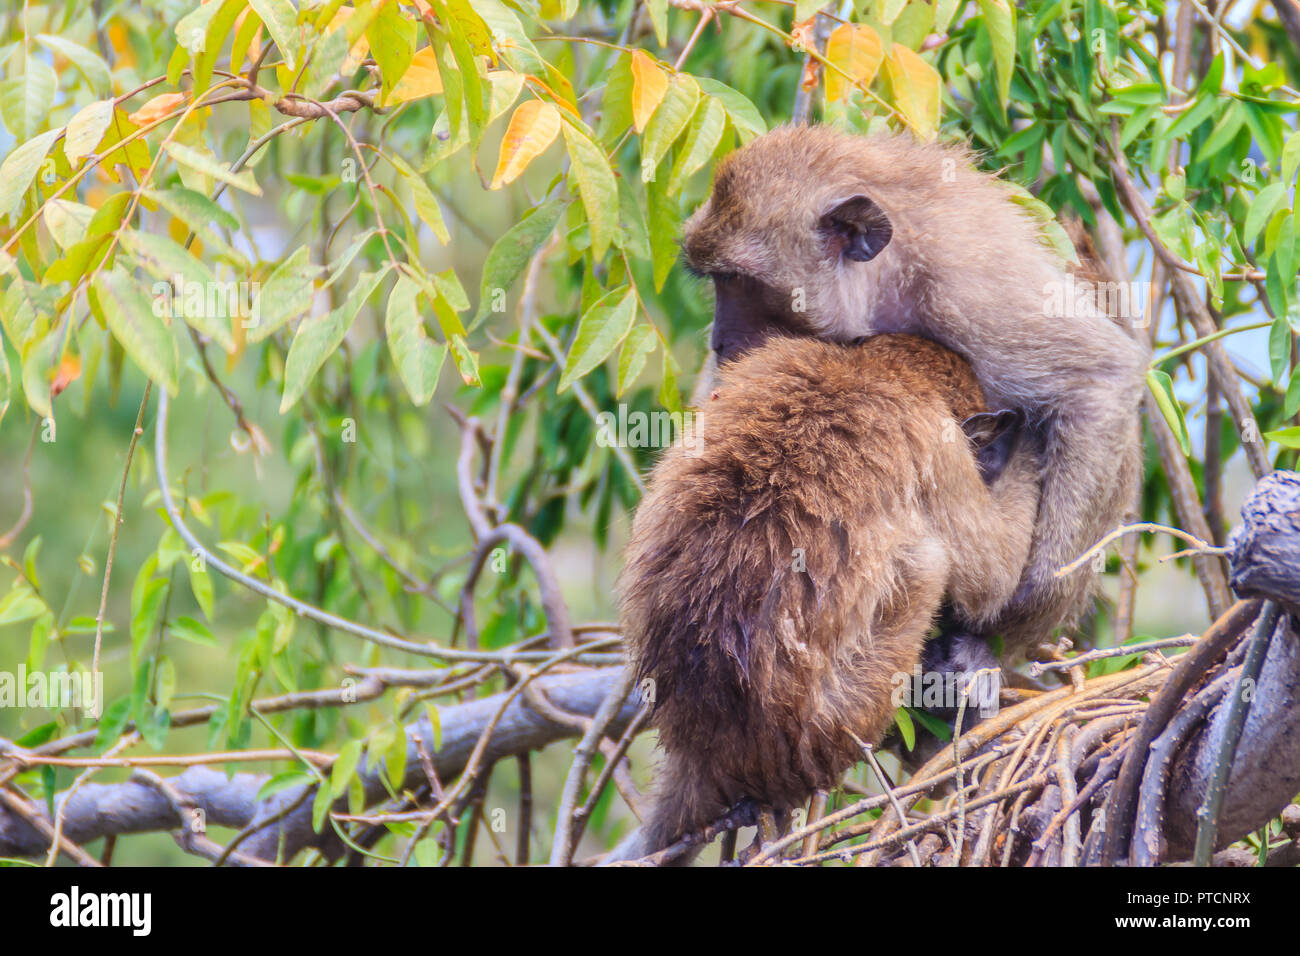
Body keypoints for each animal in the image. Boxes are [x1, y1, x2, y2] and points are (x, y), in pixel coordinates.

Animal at [613, 333, 1042, 861]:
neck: (871, 370)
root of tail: (704, 749)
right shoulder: (941, 443)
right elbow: (993, 581)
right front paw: (1031, 444)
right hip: (832, 728)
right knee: (927, 563)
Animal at [680, 126, 1147, 658]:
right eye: (716, 278)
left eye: (736, 279)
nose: (718, 341)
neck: (890, 276)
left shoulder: (971, 294)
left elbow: (1102, 378)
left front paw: (1017, 614)